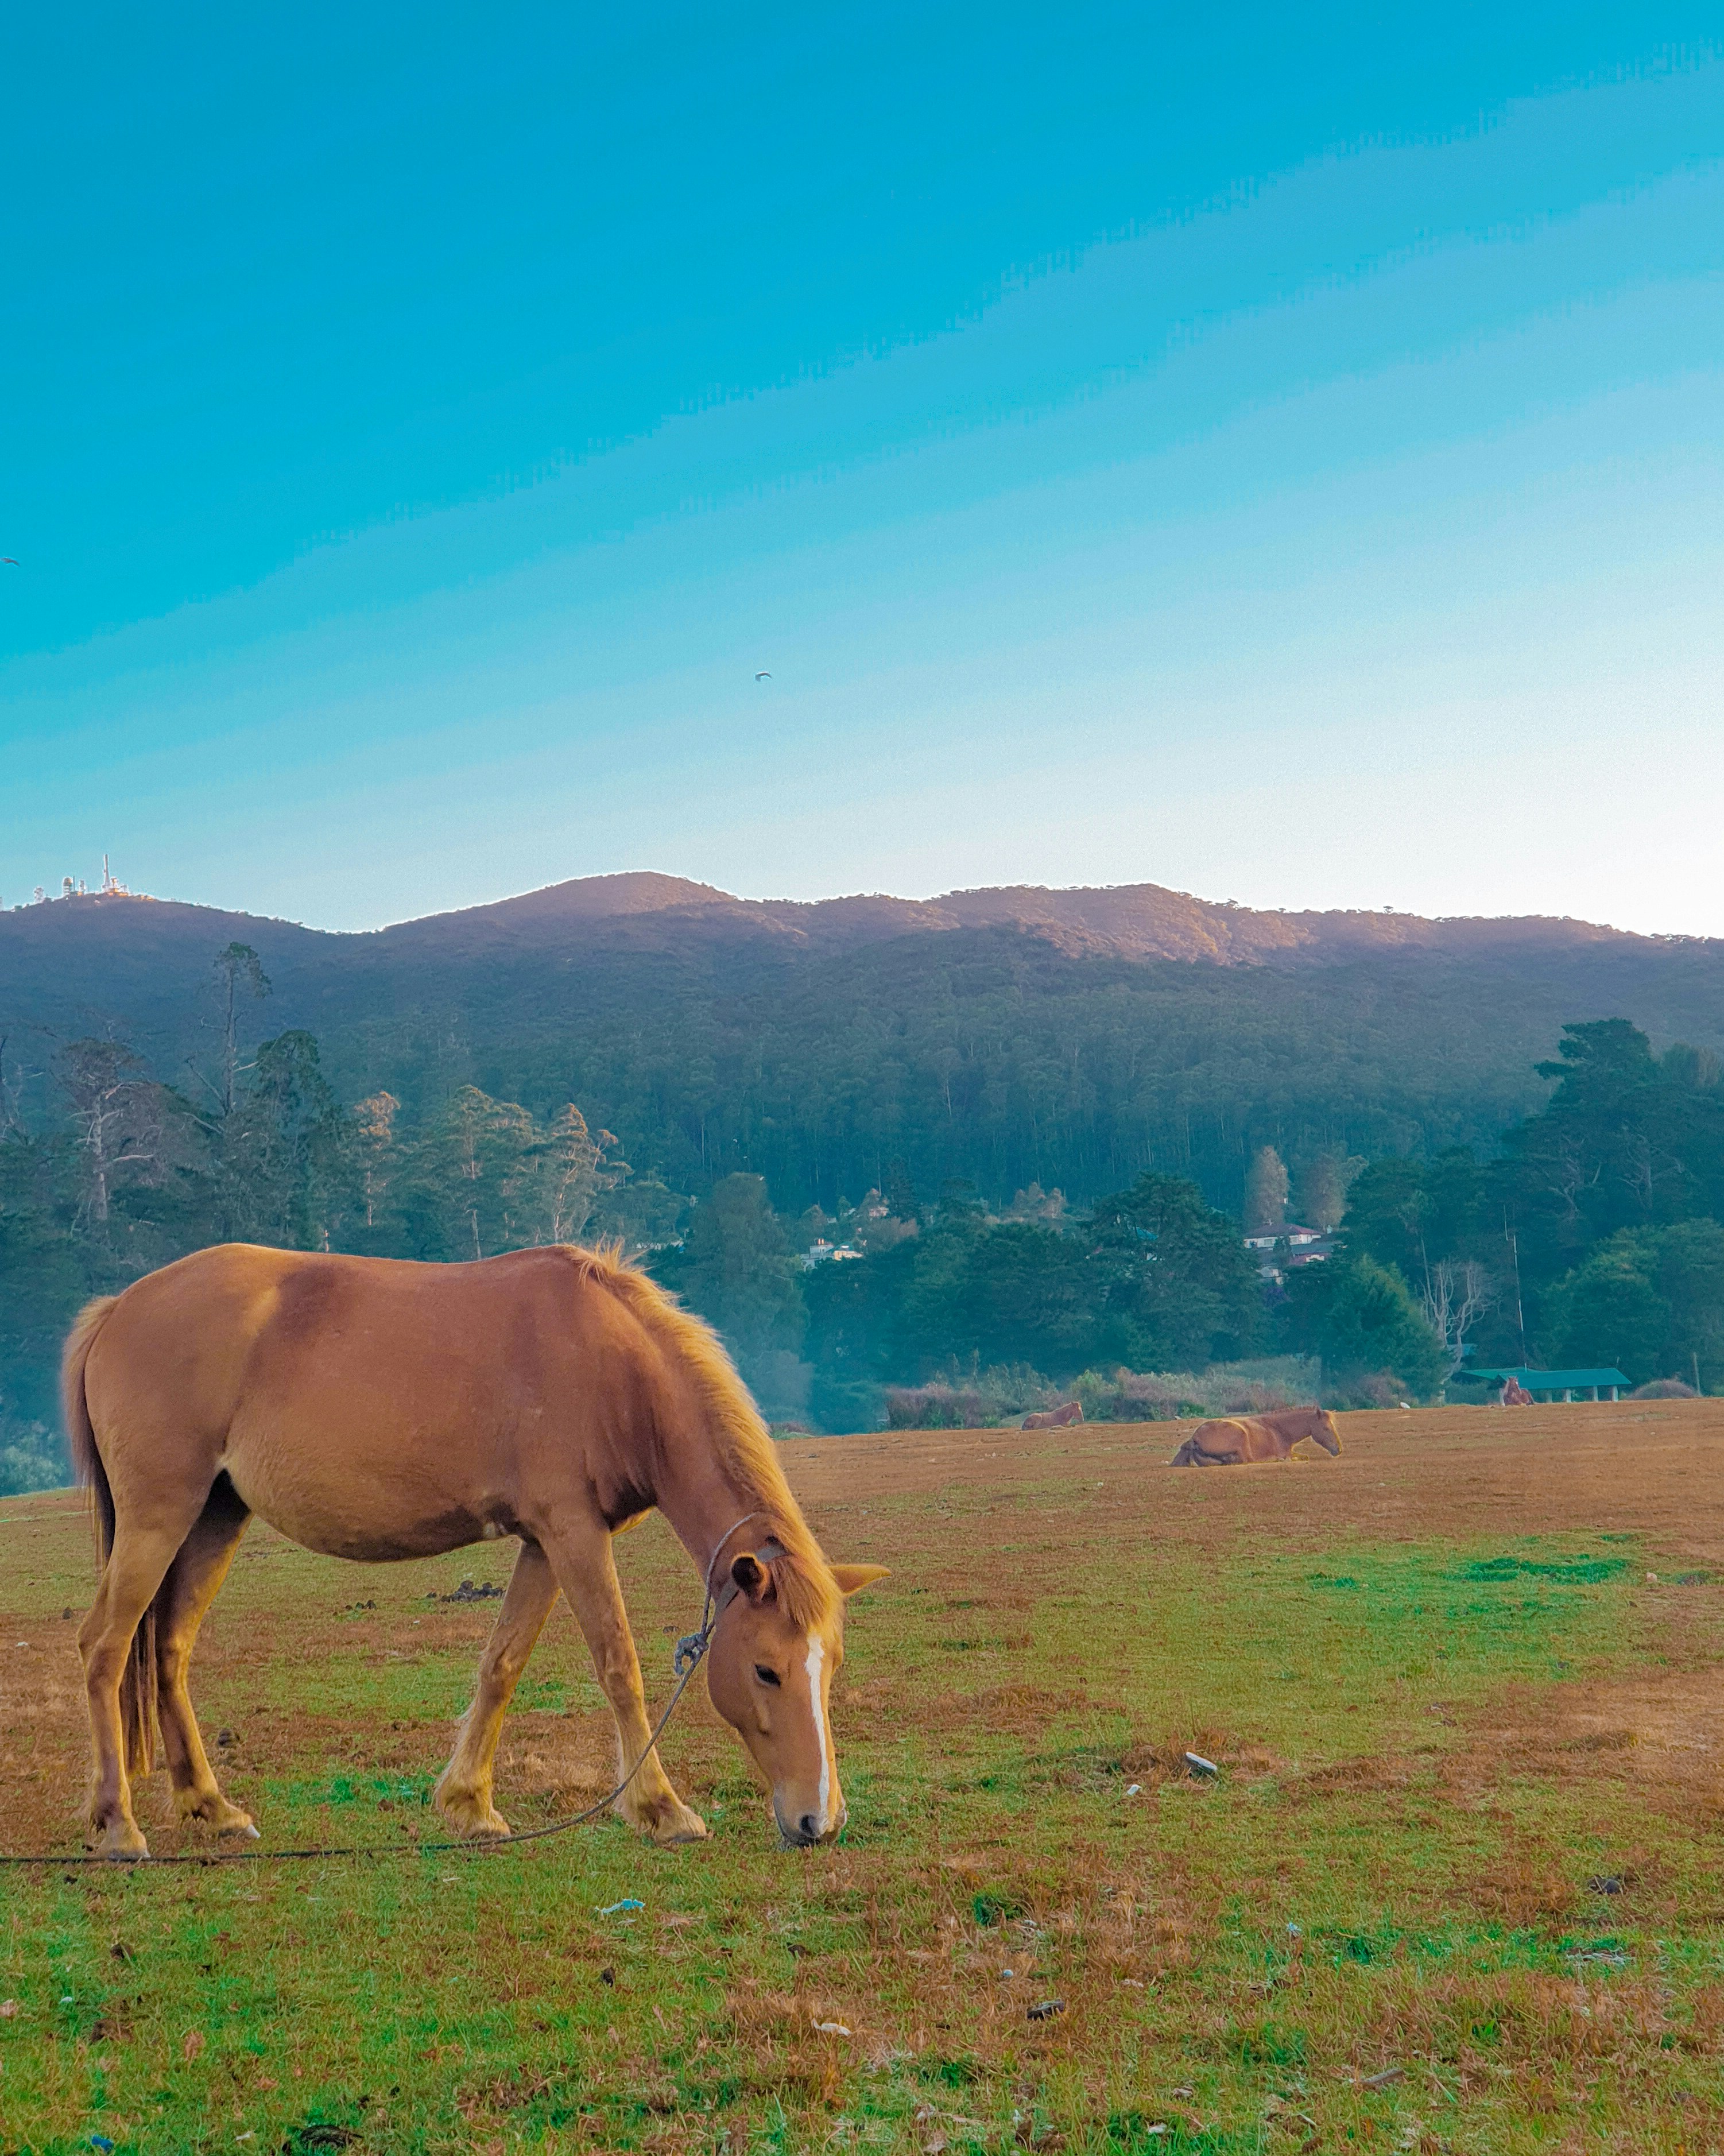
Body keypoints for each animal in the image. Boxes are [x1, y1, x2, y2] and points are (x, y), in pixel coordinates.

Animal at [60, 1242, 887, 1861]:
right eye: (765, 1668)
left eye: (831, 1667)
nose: (819, 1820)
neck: (615, 1367)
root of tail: (117, 1309)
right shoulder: (572, 1532)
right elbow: (618, 1664)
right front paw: (660, 1807)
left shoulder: (545, 1542)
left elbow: (502, 1665)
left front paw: (468, 1803)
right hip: (159, 1517)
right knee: (105, 1645)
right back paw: (117, 1823)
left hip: (212, 1518)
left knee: (168, 1649)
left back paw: (211, 1803)